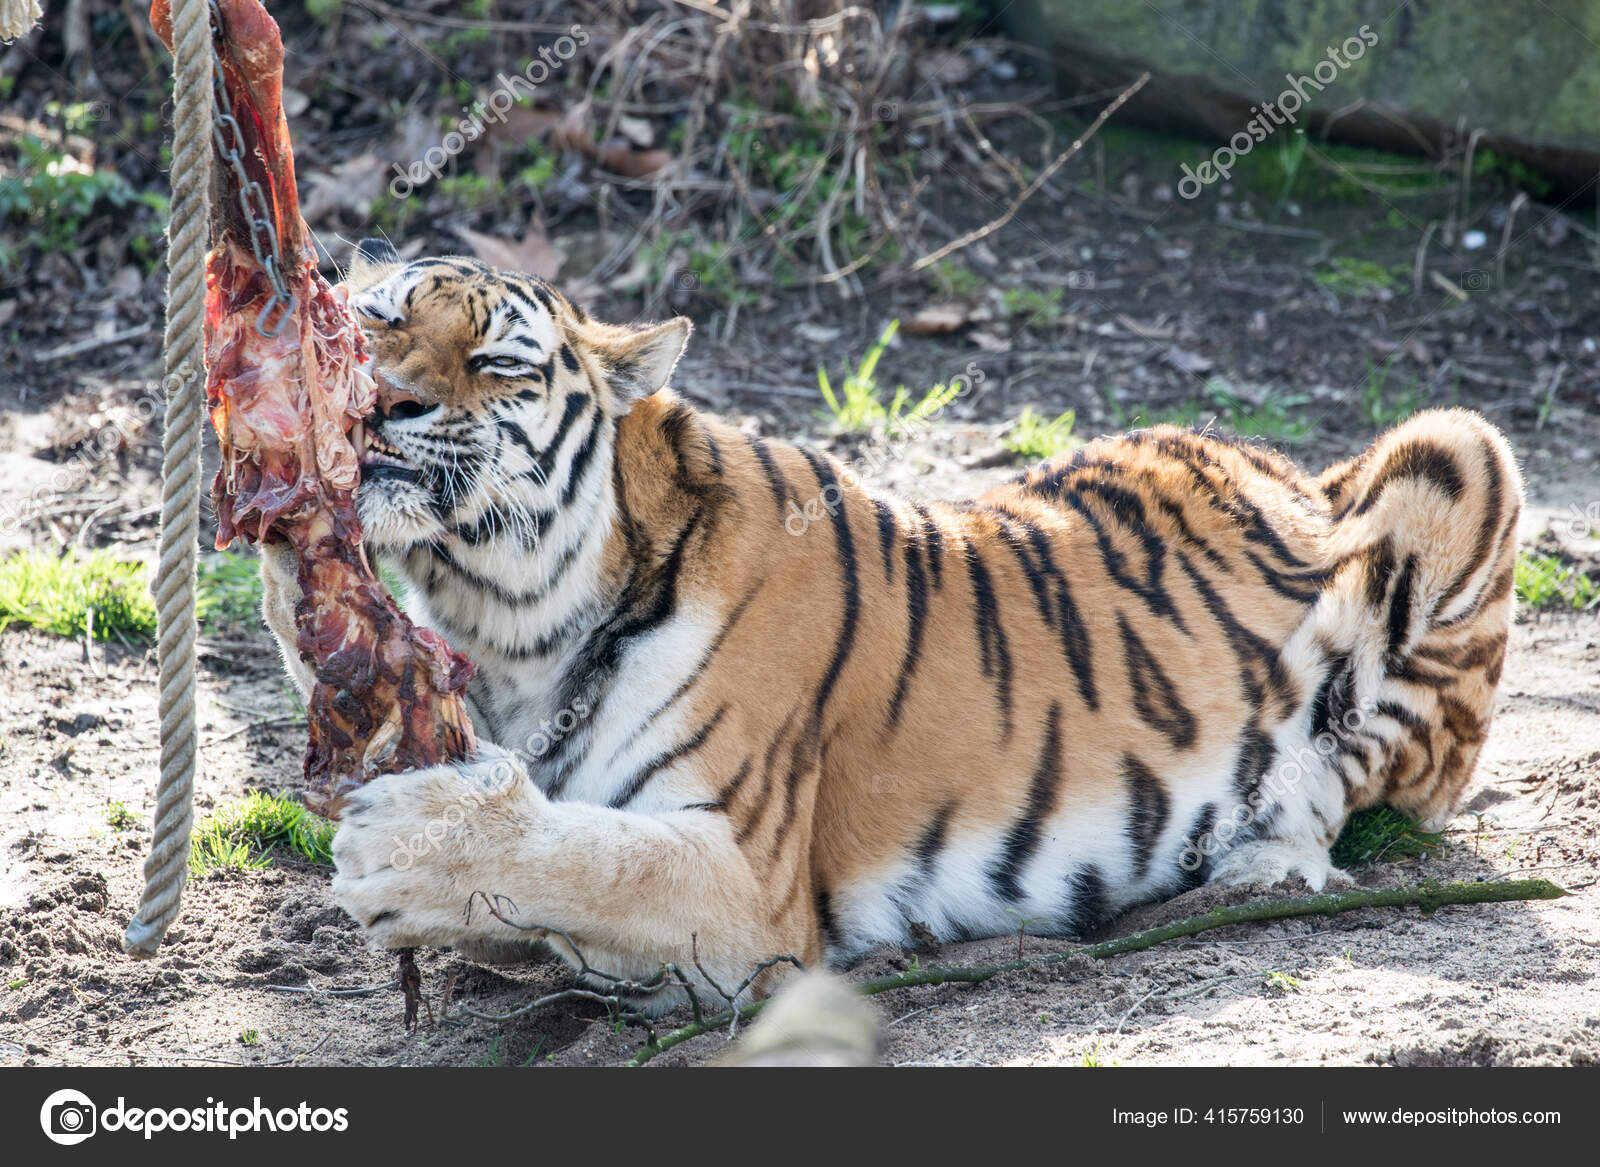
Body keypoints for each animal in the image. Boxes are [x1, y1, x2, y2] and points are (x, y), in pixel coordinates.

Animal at [258, 237, 1522, 1009]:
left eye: (491, 360)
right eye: (373, 322)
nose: (376, 400)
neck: (510, 618)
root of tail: (1291, 466)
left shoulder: (746, 890)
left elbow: (587, 857)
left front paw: (405, 847)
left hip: (1462, 449)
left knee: (1356, 787)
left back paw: (1251, 861)